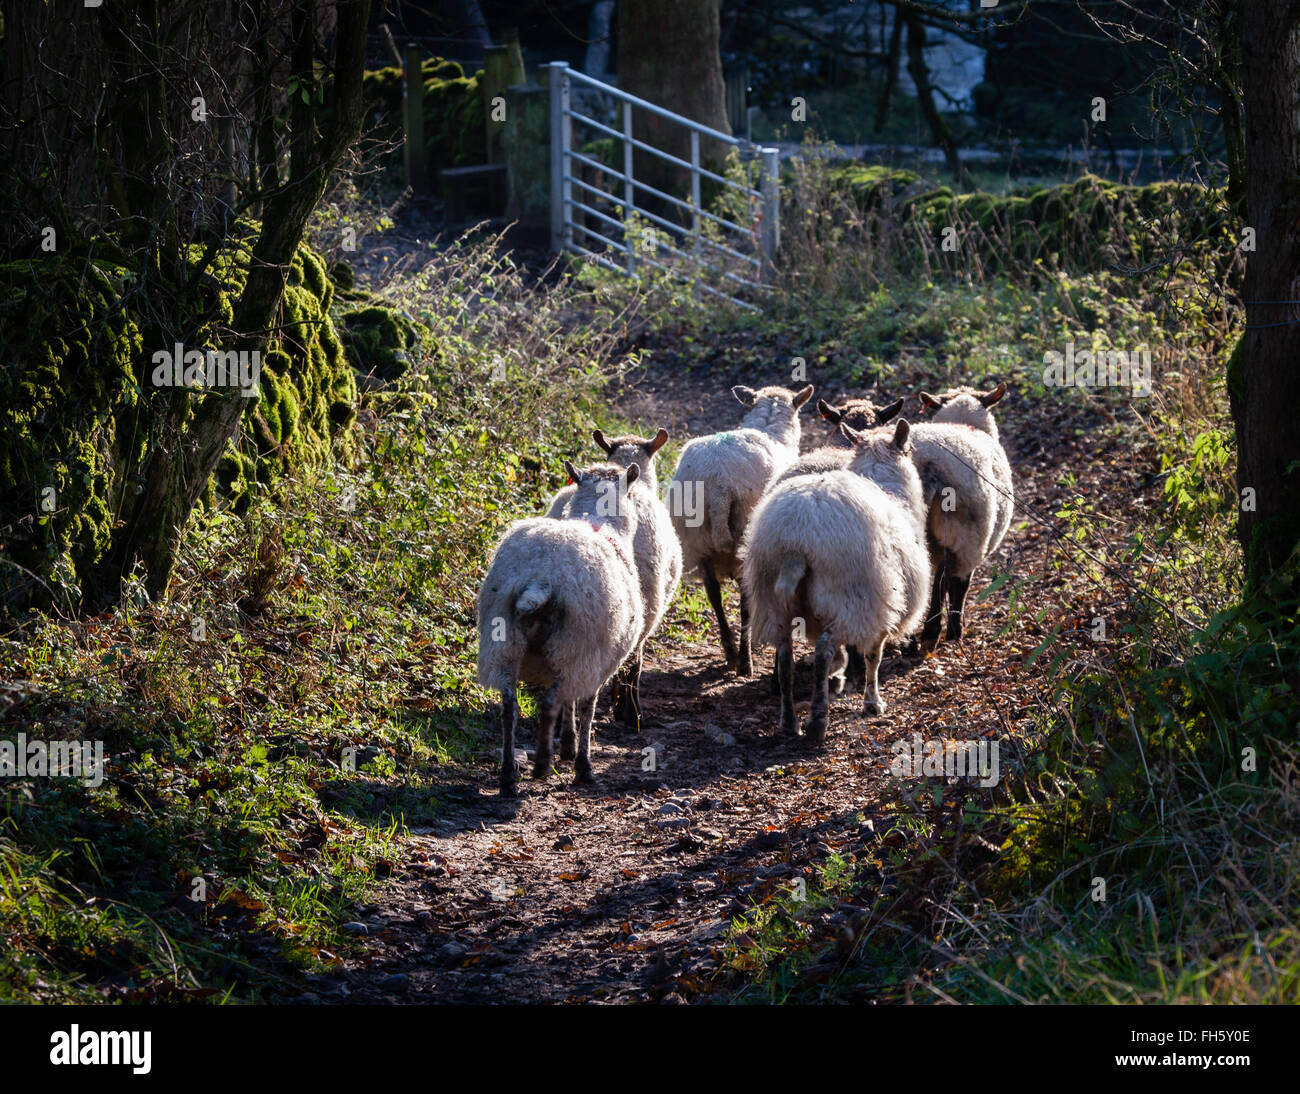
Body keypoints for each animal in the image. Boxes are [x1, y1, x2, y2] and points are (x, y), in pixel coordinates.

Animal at [478, 461, 644, 795]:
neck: (599, 520)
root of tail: (541, 577)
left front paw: (568, 746)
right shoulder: (599, 661)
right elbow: (587, 707)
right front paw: (581, 761)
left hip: (503, 643)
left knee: (509, 707)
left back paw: (508, 776)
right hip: (575, 646)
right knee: (549, 702)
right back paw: (543, 764)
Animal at [669, 383, 814, 675]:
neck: (770, 428)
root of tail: (718, 484)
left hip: (697, 539)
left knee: (713, 593)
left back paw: (729, 652)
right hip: (743, 538)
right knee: (745, 599)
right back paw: (745, 661)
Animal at [742, 418, 929, 742]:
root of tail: (795, 540)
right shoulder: (878, 609)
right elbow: (873, 657)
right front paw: (872, 702)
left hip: (771, 601)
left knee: (786, 658)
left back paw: (789, 723)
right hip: (847, 598)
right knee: (823, 652)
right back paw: (818, 721)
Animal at [910, 382, 1014, 650]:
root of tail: (927, 466)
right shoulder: (973, 545)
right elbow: (959, 585)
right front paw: (955, 629)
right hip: (962, 532)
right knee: (943, 582)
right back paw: (932, 632)